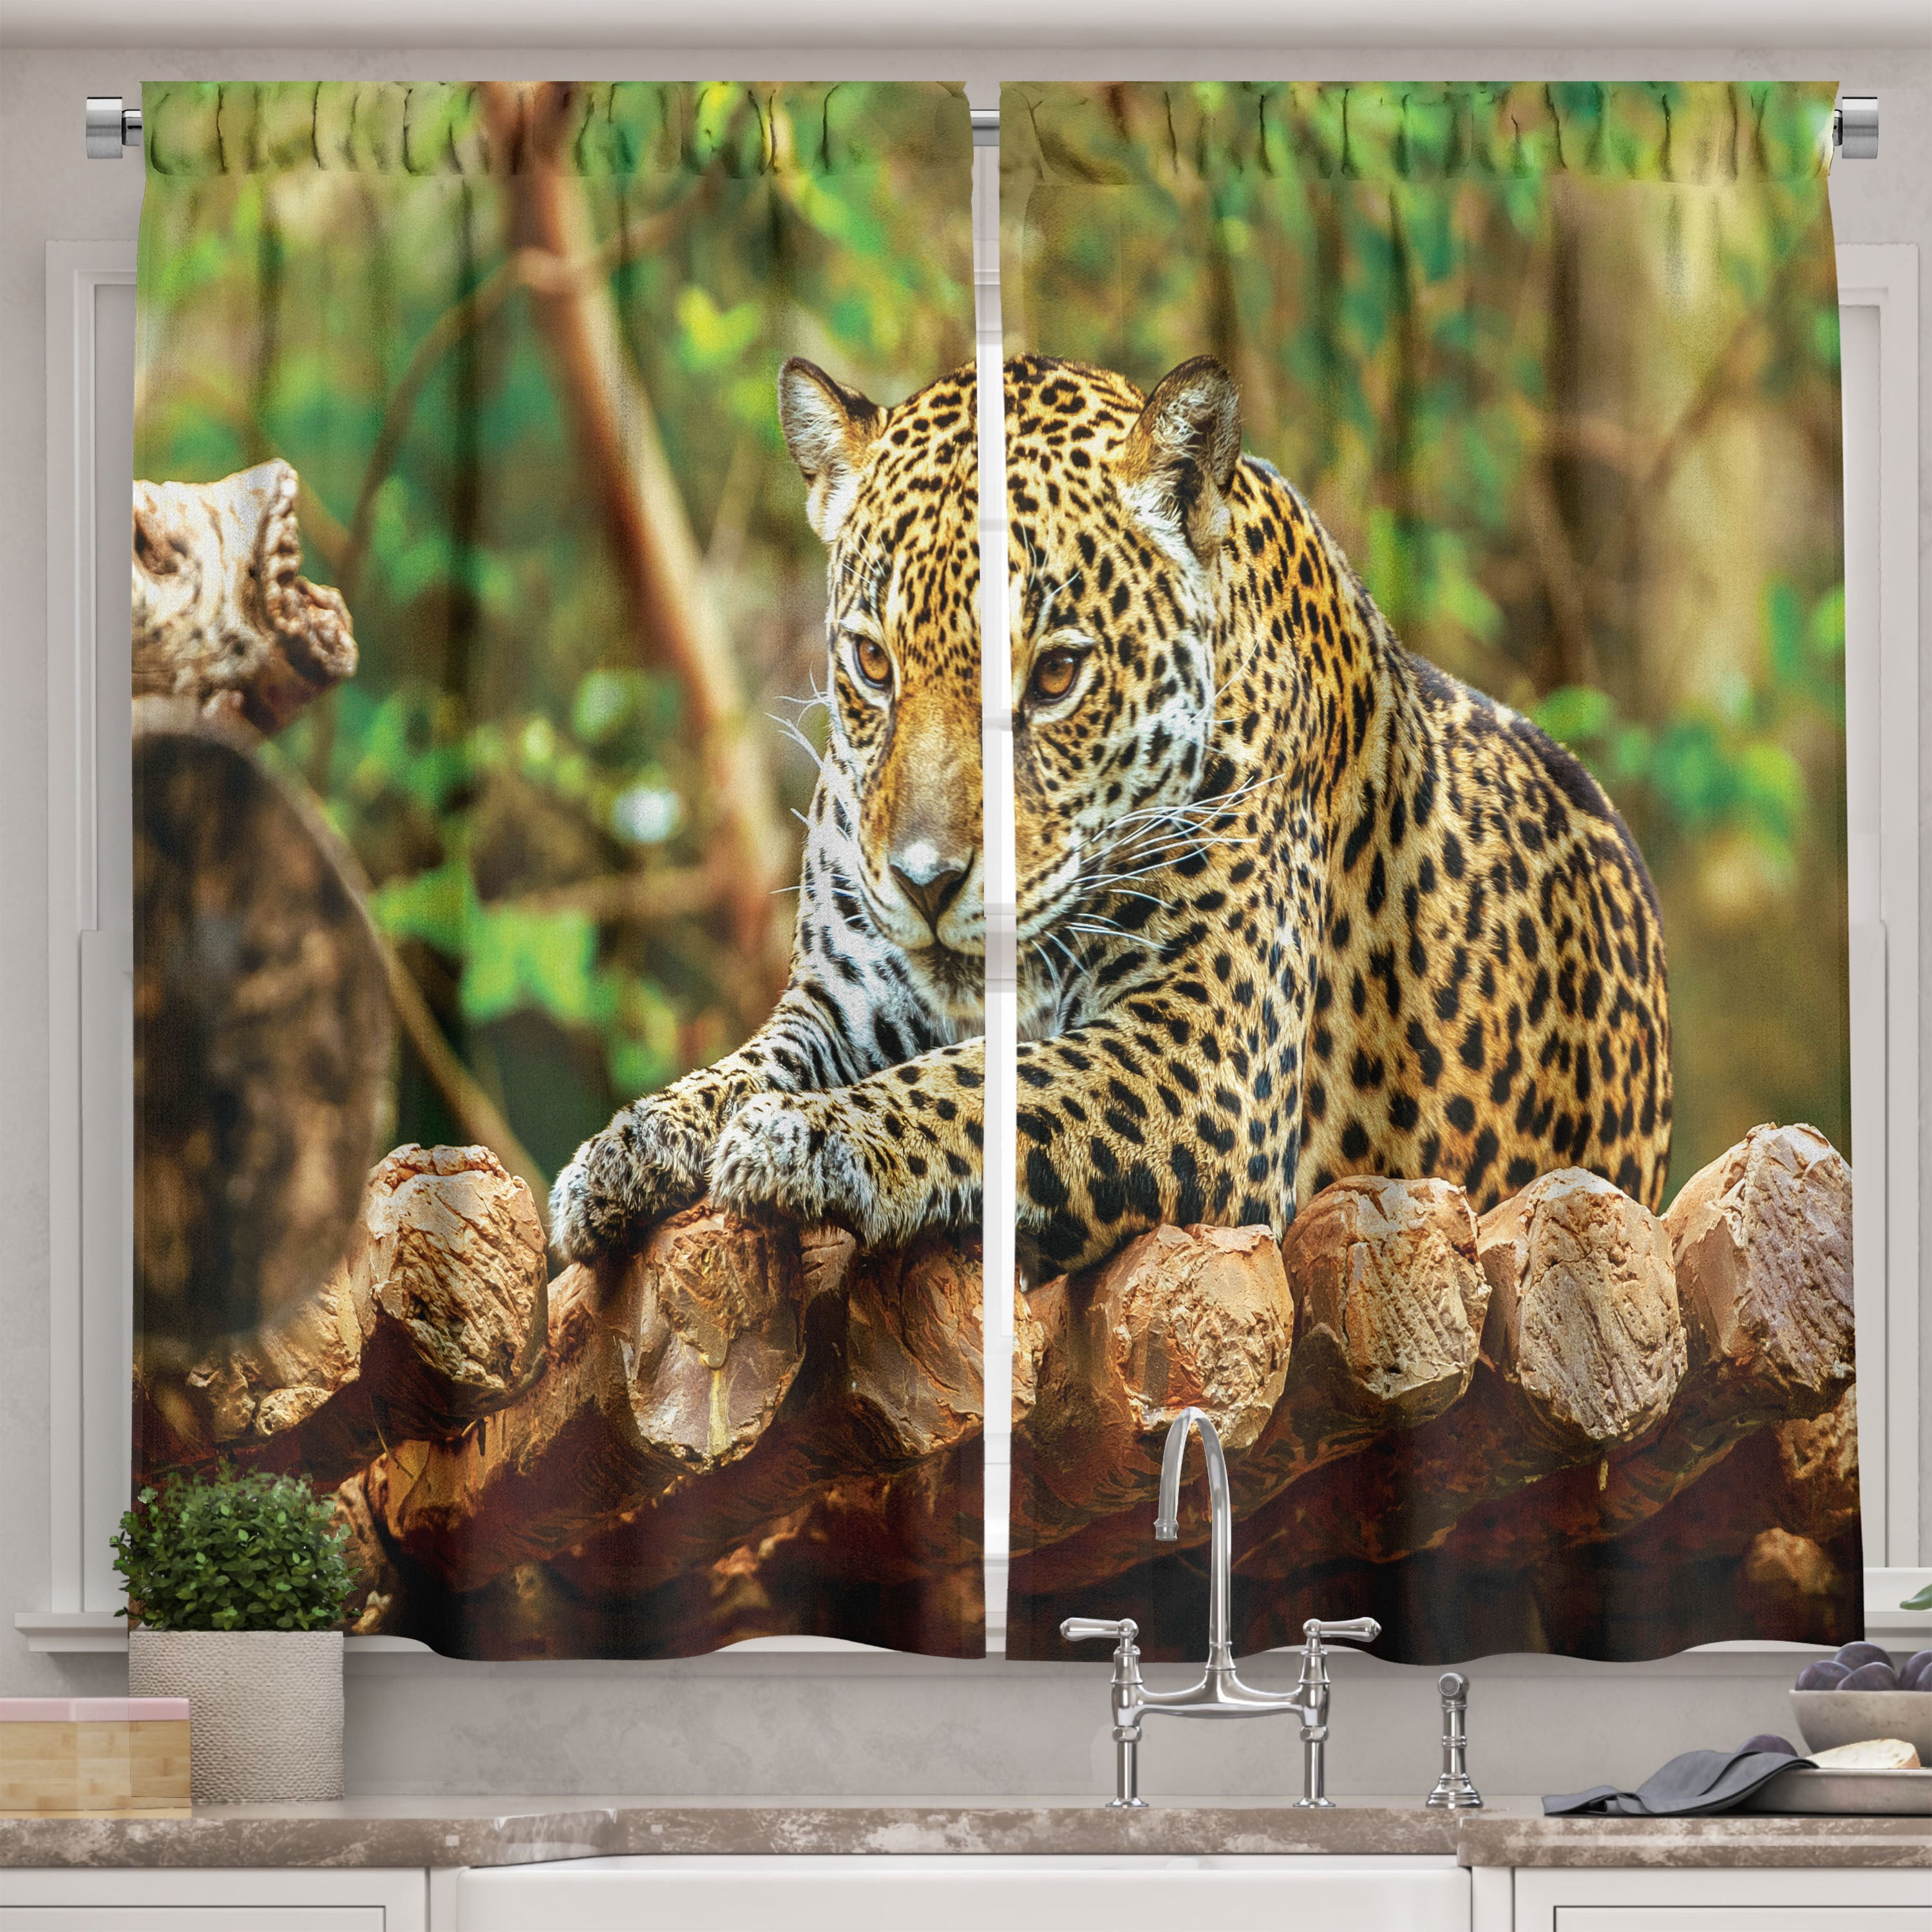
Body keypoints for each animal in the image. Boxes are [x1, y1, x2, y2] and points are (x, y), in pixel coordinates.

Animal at [551, 352, 1672, 1286]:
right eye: (872, 663)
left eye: (1055, 676)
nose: (925, 881)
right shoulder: (844, 1001)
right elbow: (745, 1067)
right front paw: (627, 1147)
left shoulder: (1206, 1052)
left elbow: (981, 1083)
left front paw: (807, 1136)